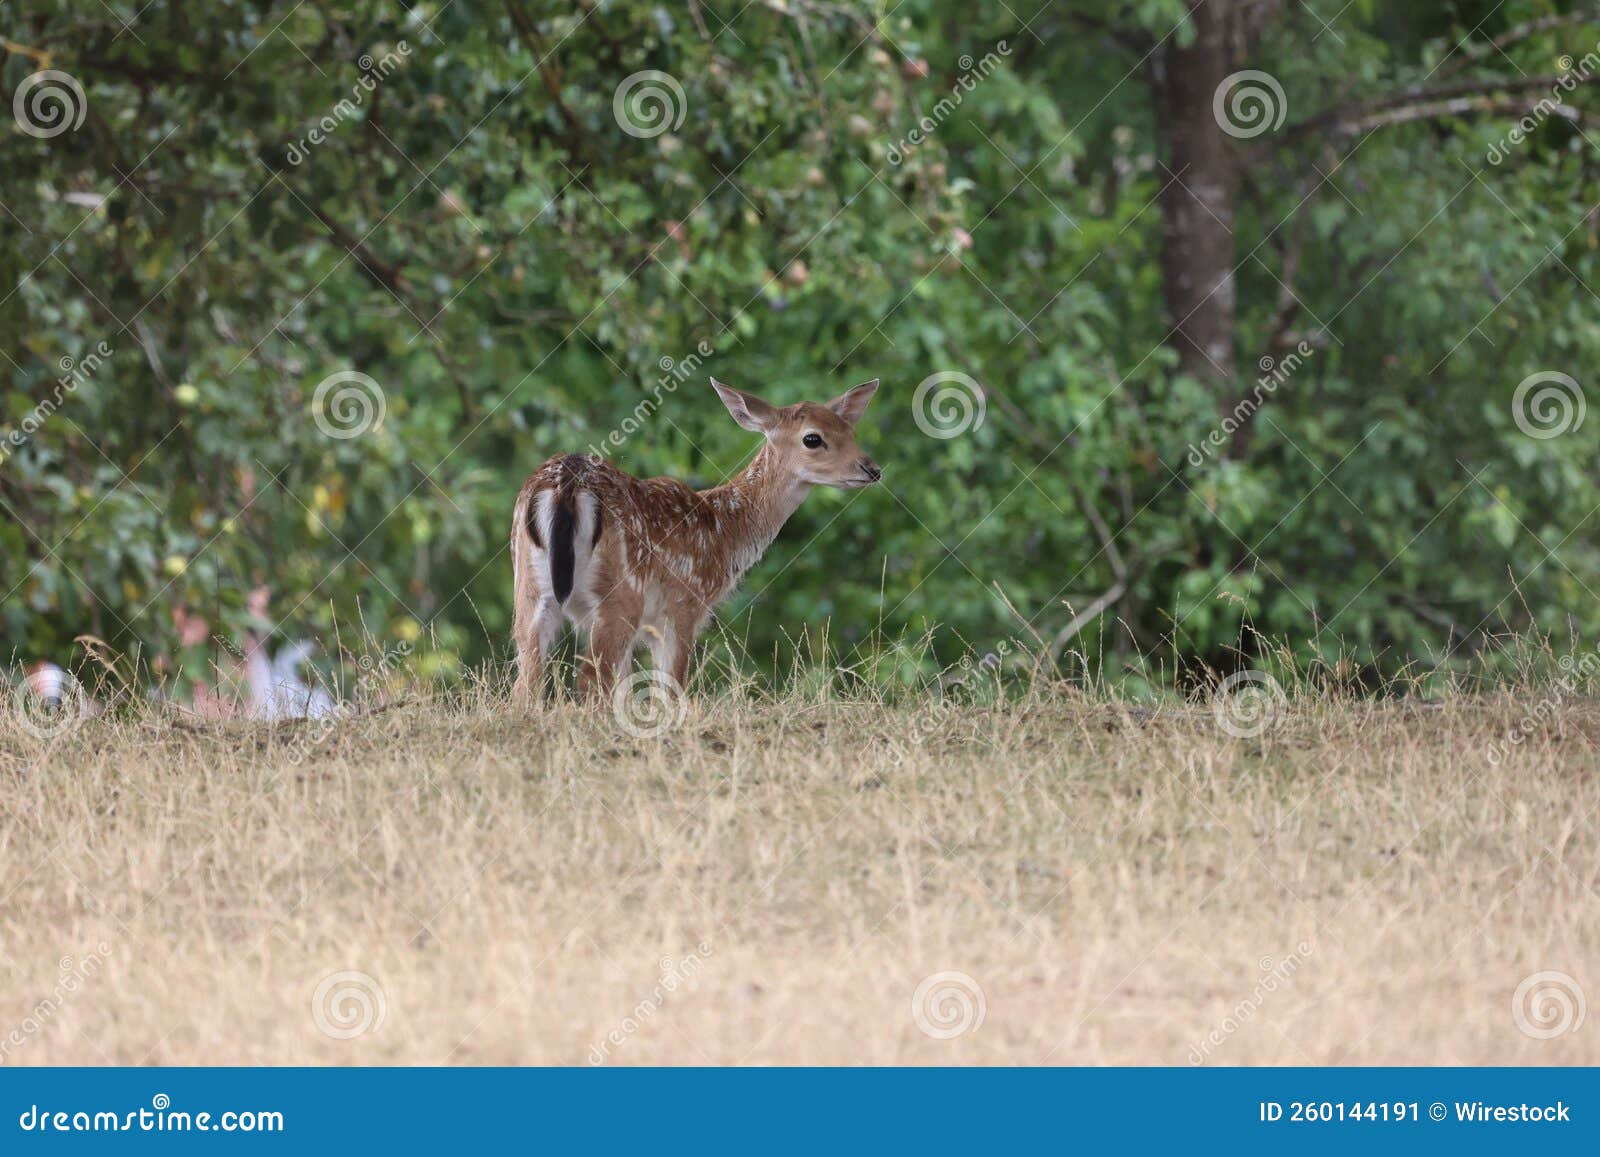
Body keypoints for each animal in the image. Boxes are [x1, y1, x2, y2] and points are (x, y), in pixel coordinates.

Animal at [510, 377, 881, 705]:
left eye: (851, 431)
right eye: (813, 439)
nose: (872, 469)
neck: (724, 531)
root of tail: (565, 486)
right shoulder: (684, 604)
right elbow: (671, 688)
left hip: (529, 588)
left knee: (527, 681)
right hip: (620, 594)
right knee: (589, 677)